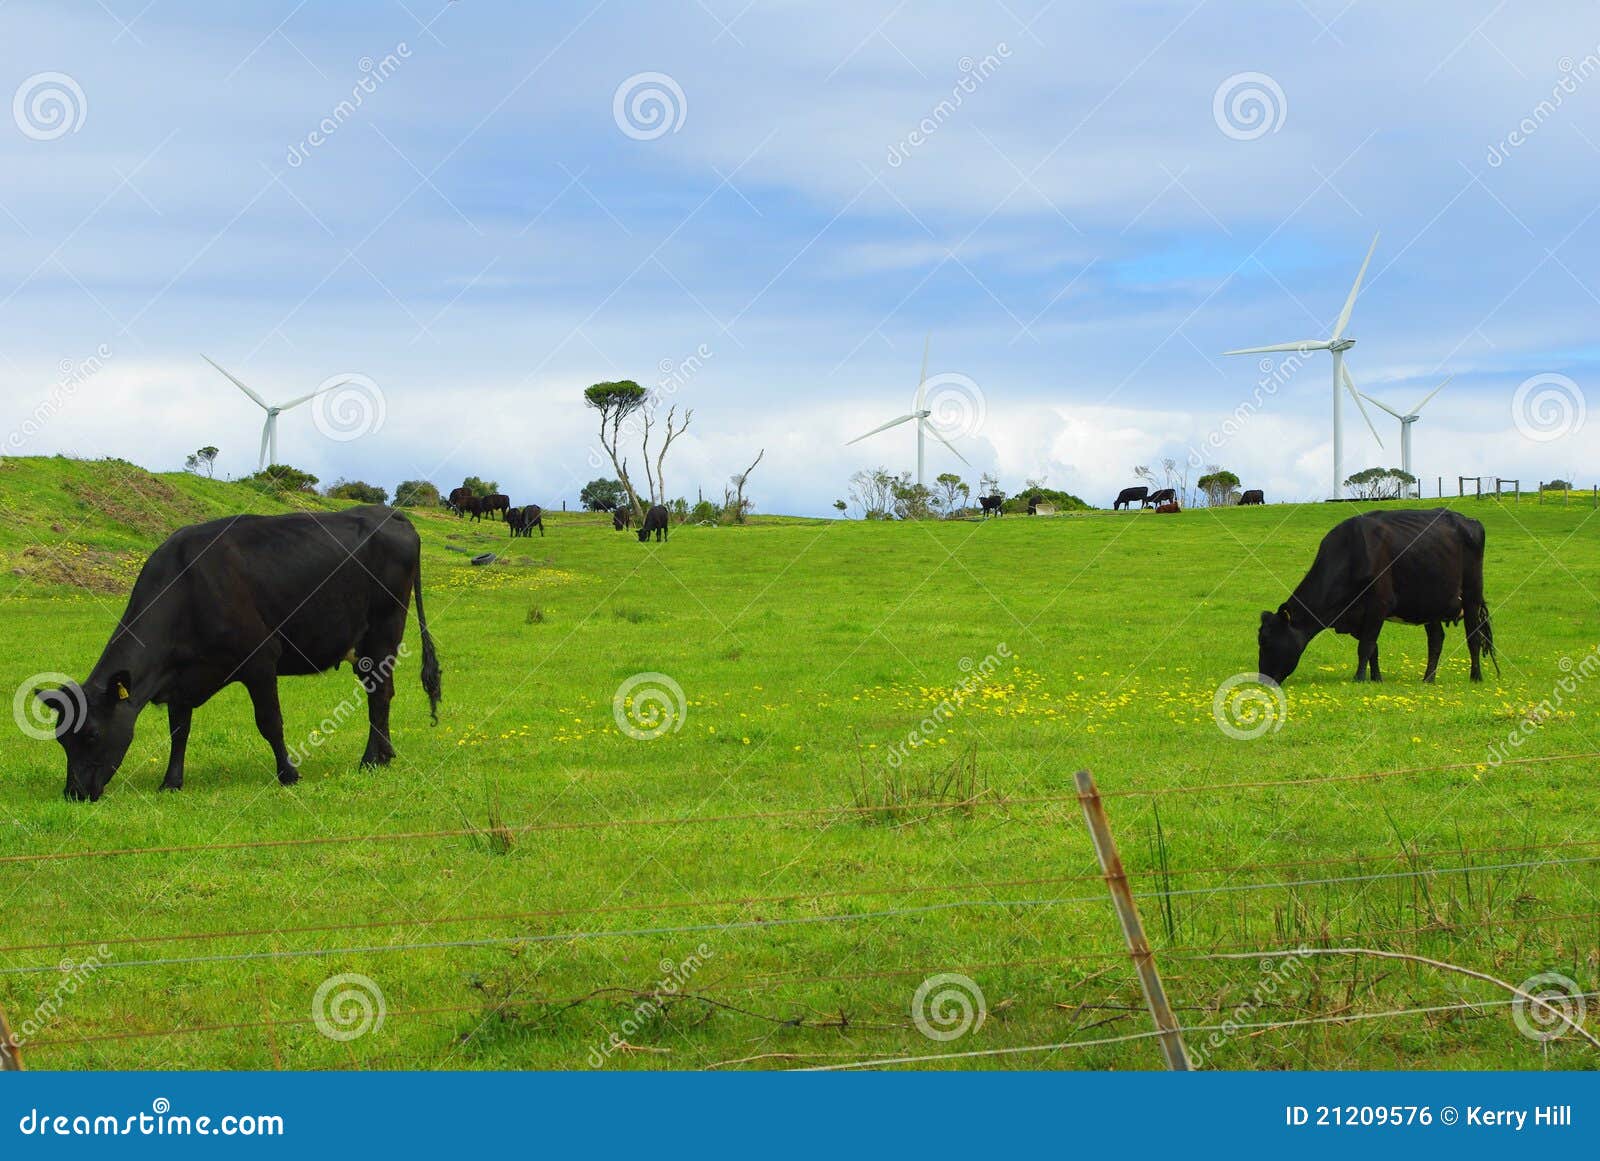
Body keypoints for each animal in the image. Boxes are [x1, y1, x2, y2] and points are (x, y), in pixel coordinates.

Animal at [33, 506, 442, 802]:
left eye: (91, 735)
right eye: (62, 739)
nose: (74, 793)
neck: (186, 588)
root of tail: (388, 512)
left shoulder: (261, 659)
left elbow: (270, 722)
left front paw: (288, 774)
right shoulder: (181, 677)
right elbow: (179, 731)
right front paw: (171, 782)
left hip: (384, 631)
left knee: (379, 694)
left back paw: (371, 759)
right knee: (382, 692)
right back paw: (384, 756)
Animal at [1257, 508, 1496, 686]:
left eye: (1265, 640)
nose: (1262, 679)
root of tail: (1470, 521)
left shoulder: (1379, 604)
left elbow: (1366, 645)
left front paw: (1359, 678)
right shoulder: (1356, 616)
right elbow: (1373, 647)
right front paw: (1376, 678)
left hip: (1472, 595)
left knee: (1473, 637)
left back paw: (1476, 677)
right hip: (1431, 603)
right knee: (1436, 639)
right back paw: (1428, 679)